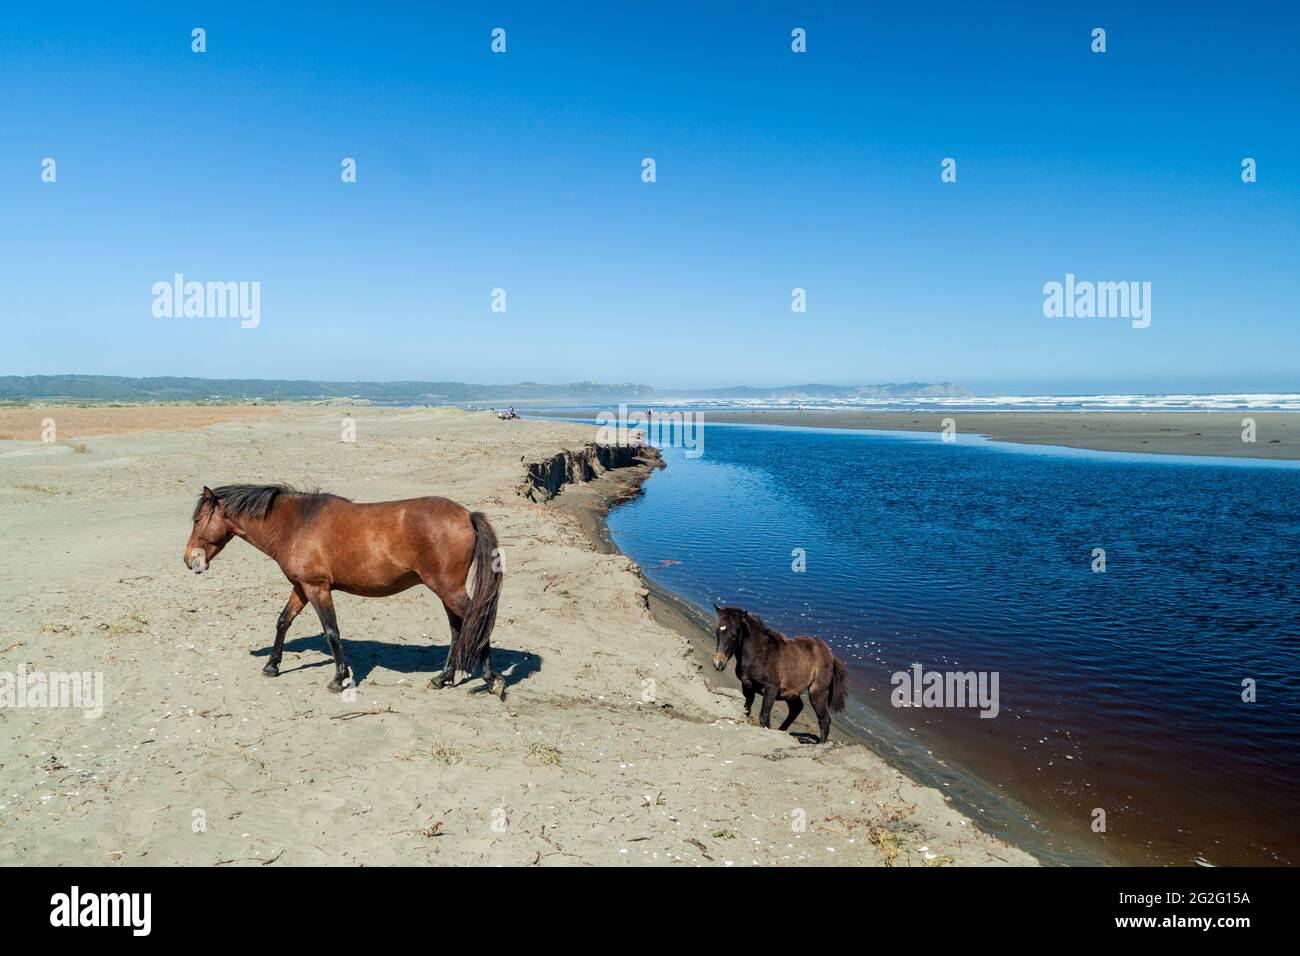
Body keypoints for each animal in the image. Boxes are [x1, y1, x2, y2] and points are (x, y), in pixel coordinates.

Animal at [183, 484, 505, 697]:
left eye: (197, 520)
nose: (189, 560)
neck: (296, 524)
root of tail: (467, 515)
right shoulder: (301, 588)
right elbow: (283, 622)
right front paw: (272, 665)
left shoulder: (318, 589)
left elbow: (332, 632)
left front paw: (339, 679)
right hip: (445, 590)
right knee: (458, 629)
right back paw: (443, 678)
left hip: (448, 589)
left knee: (476, 620)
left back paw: (493, 680)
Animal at [712, 605, 847, 743]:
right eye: (717, 633)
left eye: (734, 636)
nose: (718, 663)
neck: (758, 653)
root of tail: (830, 656)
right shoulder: (747, 685)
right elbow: (746, 709)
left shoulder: (771, 688)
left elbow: (764, 717)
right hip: (790, 692)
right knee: (797, 708)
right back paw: (781, 731)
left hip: (817, 692)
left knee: (824, 720)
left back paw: (820, 743)